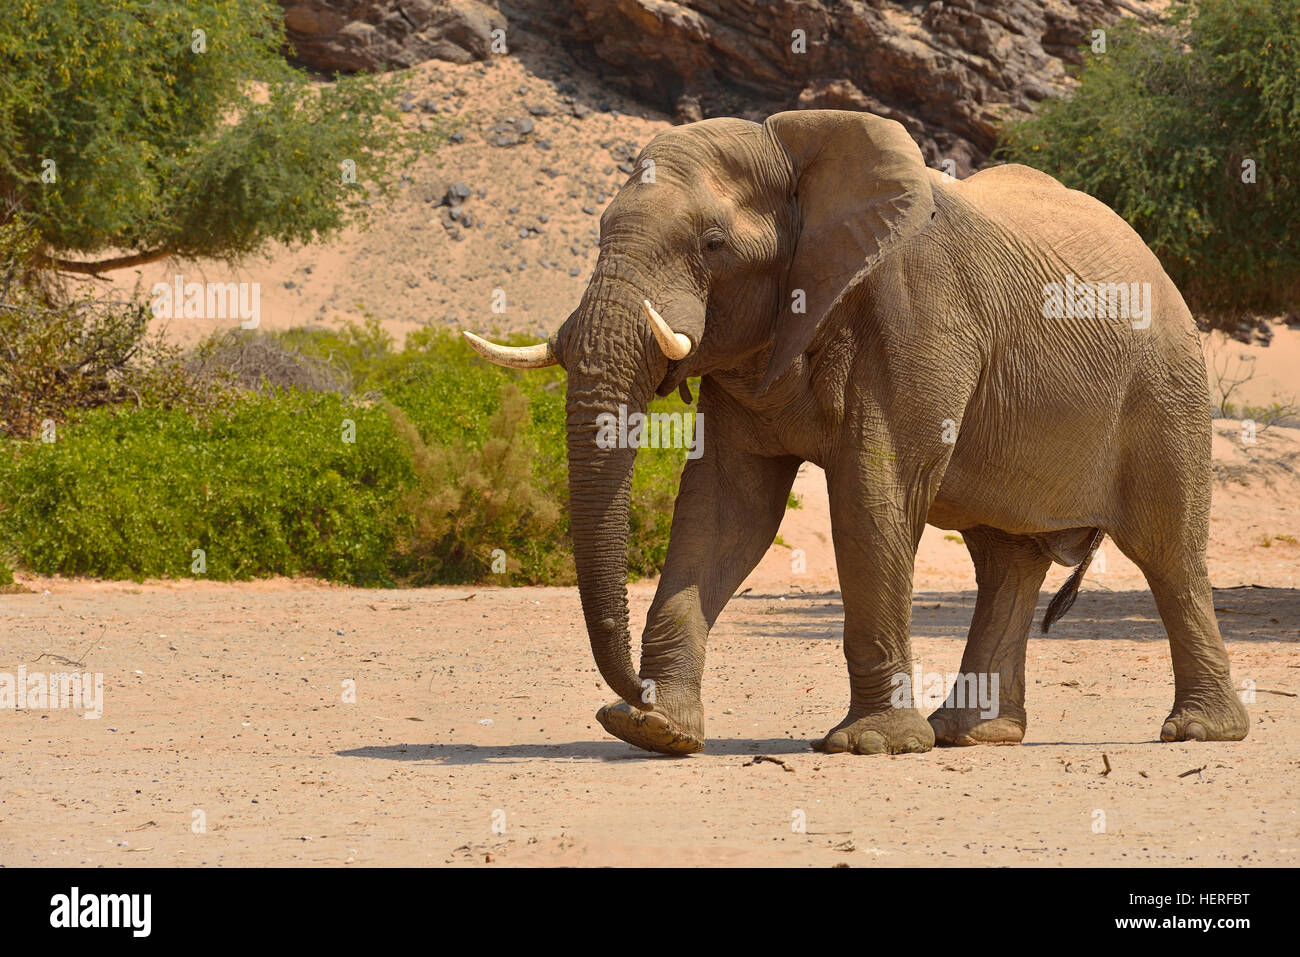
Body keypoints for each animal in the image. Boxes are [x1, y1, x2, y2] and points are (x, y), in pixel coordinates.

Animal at [464, 109, 1250, 756]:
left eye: (713, 244)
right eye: (600, 232)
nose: (627, 688)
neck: (796, 156)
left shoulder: (919, 313)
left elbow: (874, 492)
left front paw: (871, 745)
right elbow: (728, 509)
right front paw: (654, 730)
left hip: (1167, 390)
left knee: (1167, 552)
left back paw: (1199, 732)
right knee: (1006, 562)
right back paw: (971, 735)